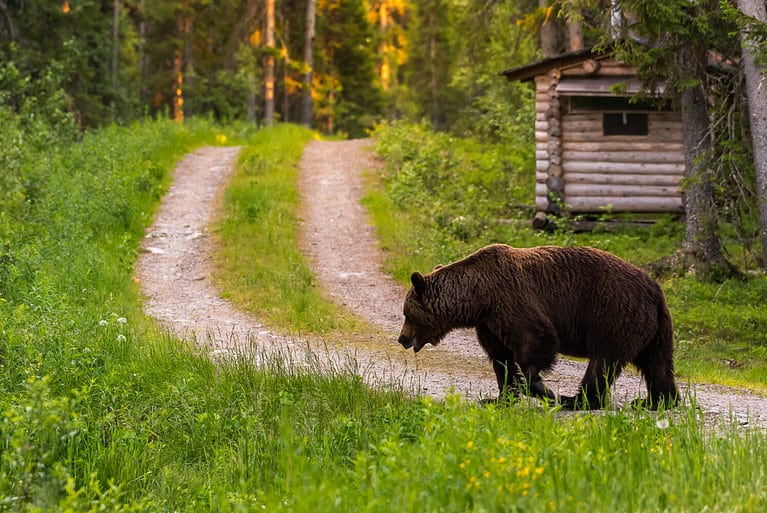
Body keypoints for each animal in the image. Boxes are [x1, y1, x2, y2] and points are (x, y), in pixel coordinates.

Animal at [397, 243, 679, 410]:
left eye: (407, 314)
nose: (402, 338)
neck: (479, 297)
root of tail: (654, 289)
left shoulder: (512, 300)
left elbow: (535, 341)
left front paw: (542, 390)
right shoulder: (489, 323)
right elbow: (500, 358)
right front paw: (498, 397)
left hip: (613, 315)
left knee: (603, 363)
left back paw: (576, 400)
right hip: (654, 328)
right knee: (657, 363)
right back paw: (657, 401)